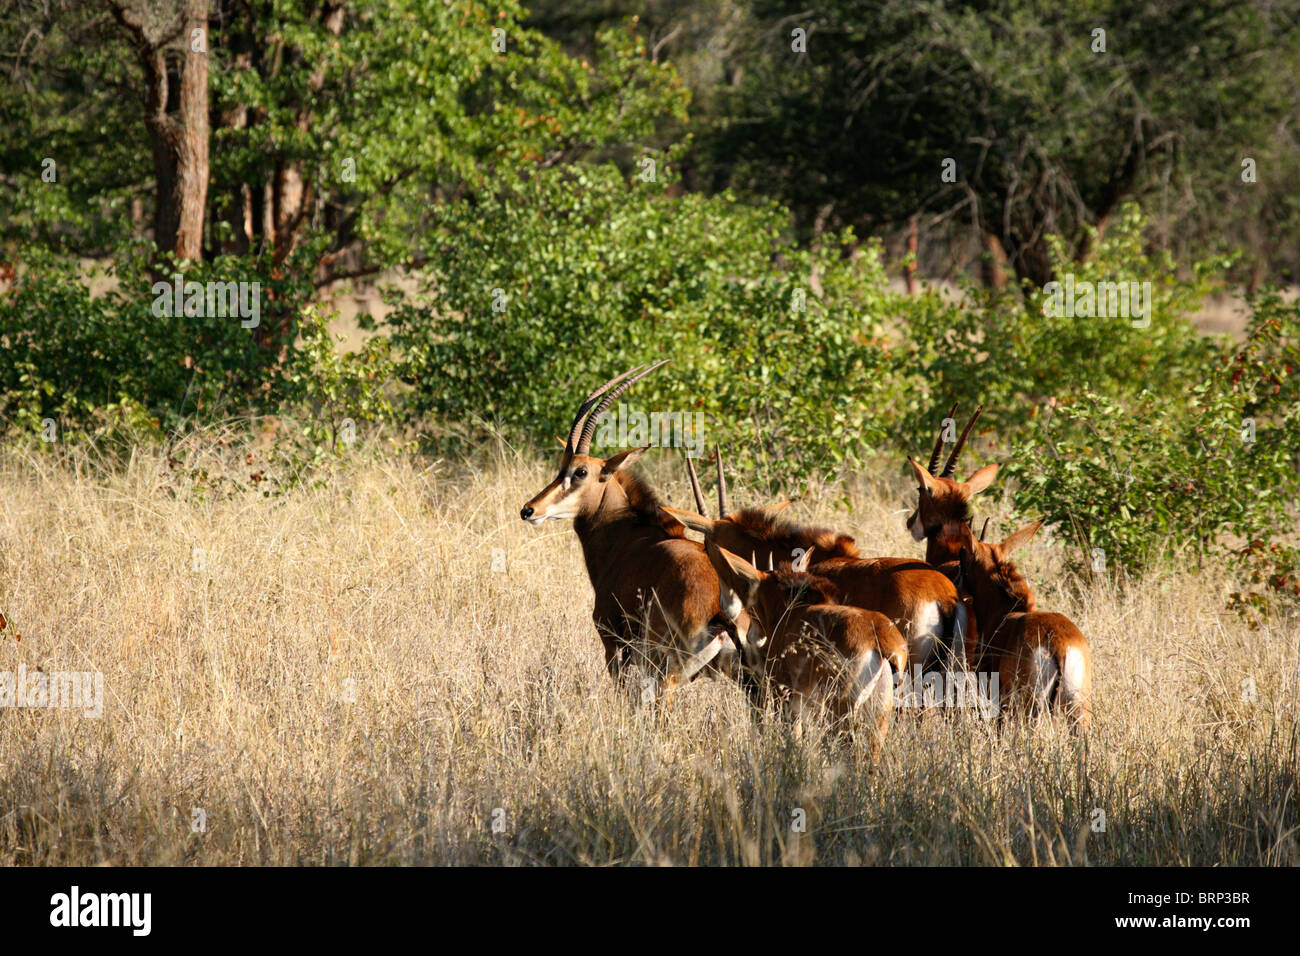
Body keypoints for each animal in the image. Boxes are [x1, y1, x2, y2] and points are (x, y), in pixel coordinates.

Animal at [519, 362, 743, 701]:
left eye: (580, 471)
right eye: (560, 468)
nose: (529, 510)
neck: (627, 536)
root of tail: (723, 606)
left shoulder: (613, 642)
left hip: (669, 668)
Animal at [706, 541, 907, 753]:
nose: (752, 635)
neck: (792, 610)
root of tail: (879, 641)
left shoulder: (784, 694)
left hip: (841, 709)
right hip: (880, 714)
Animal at [954, 519, 1093, 731]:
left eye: (963, 557)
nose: (955, 583)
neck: (1006, 613)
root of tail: (1059, 644)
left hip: (1032, 706)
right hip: (1078, 708)